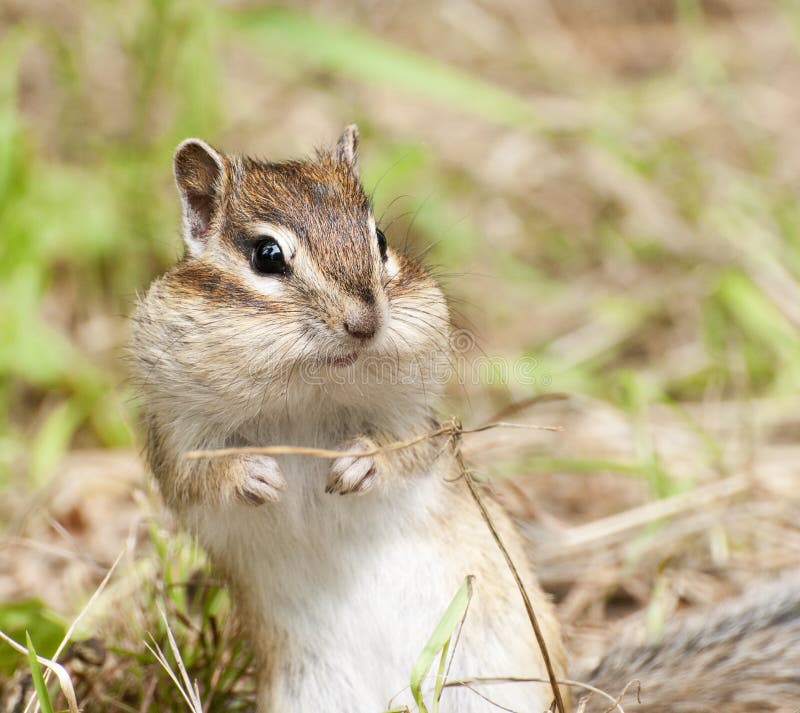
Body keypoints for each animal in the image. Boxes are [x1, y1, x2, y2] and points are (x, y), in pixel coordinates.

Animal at [130, 126, 800, 712]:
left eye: (380, 240)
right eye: (266, 255)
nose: (365, 323)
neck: (305, 396)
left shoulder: (418, 420)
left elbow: (404, 447)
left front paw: (360, 463)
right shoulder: (175, 431)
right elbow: (193, 476)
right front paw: (255, 475)